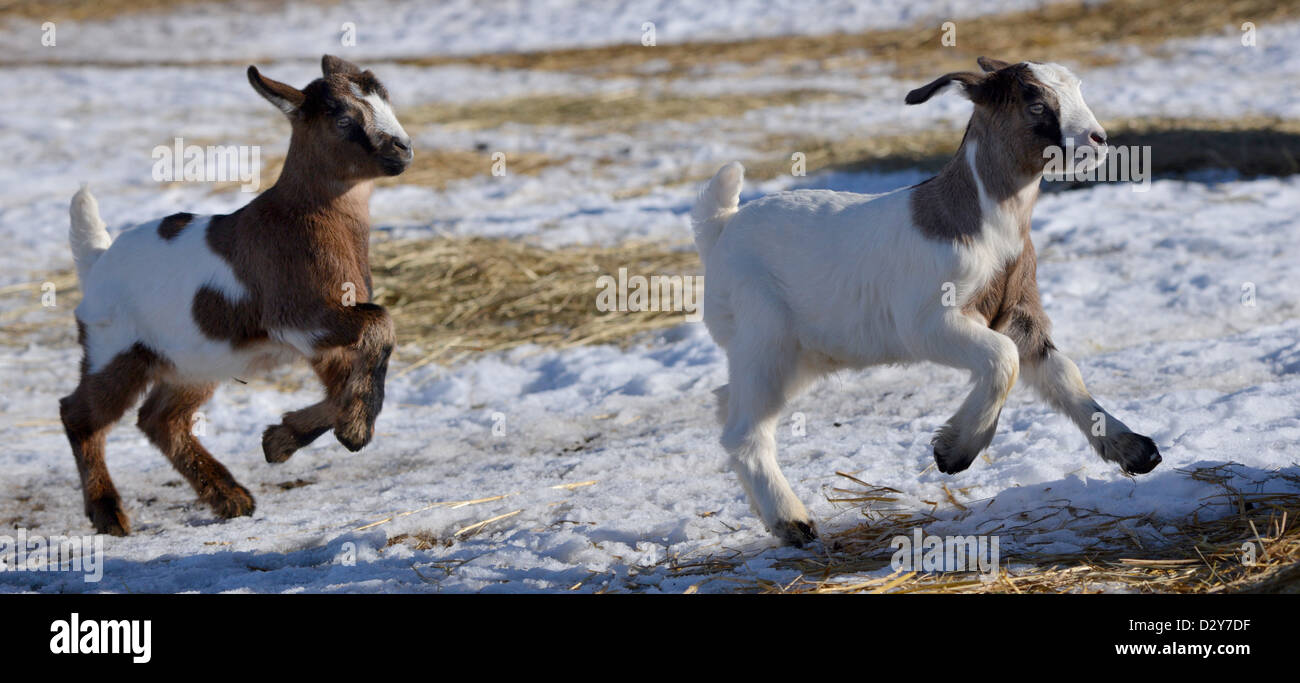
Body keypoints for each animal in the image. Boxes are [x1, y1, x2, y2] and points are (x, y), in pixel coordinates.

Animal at [60, 55, 413, 535]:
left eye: (385, 101)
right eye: (343, 119)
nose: (403, 148)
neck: (305, 216)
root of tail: (97, 261)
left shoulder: (326, 342)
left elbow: (349, 379)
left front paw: (280, 442)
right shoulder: (303, 318)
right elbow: (381, 324)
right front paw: (354, 432)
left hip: (193, 363)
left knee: (160, 420)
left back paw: (231, 499)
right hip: (114, 351)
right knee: (79, 414)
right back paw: (109, 514)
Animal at [691, 57, 1162, 546]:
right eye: (1035, 103)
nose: (1098, 139)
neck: (986, 227)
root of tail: (719, 230)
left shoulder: (1021, 316)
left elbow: (1064, 375)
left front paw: (1136, 450)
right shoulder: (930, 323)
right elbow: (1002, 359)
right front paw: (953, 452)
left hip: (798, 354)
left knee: (729, 409)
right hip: (765, 337)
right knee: (746, 433)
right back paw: (793, 521)